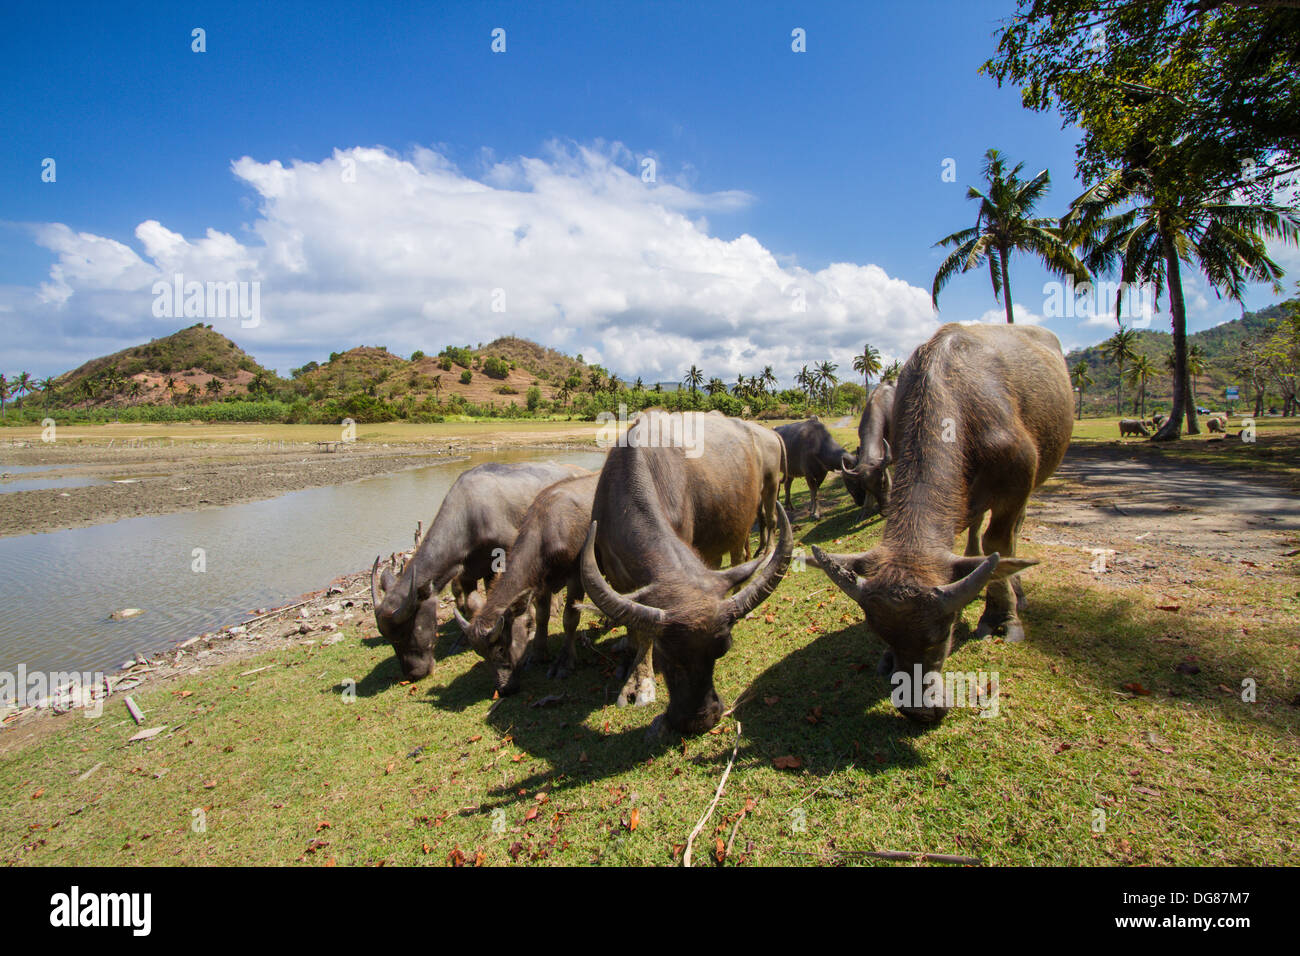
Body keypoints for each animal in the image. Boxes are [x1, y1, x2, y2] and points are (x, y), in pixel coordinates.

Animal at [812, 323, 1073, 724]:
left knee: (1012, 532)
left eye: (941, 634)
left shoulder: (1018, 481)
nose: (919, 711)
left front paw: (1002, 616)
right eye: (883, 636)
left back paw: (1017, 589)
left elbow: (1000, 544)